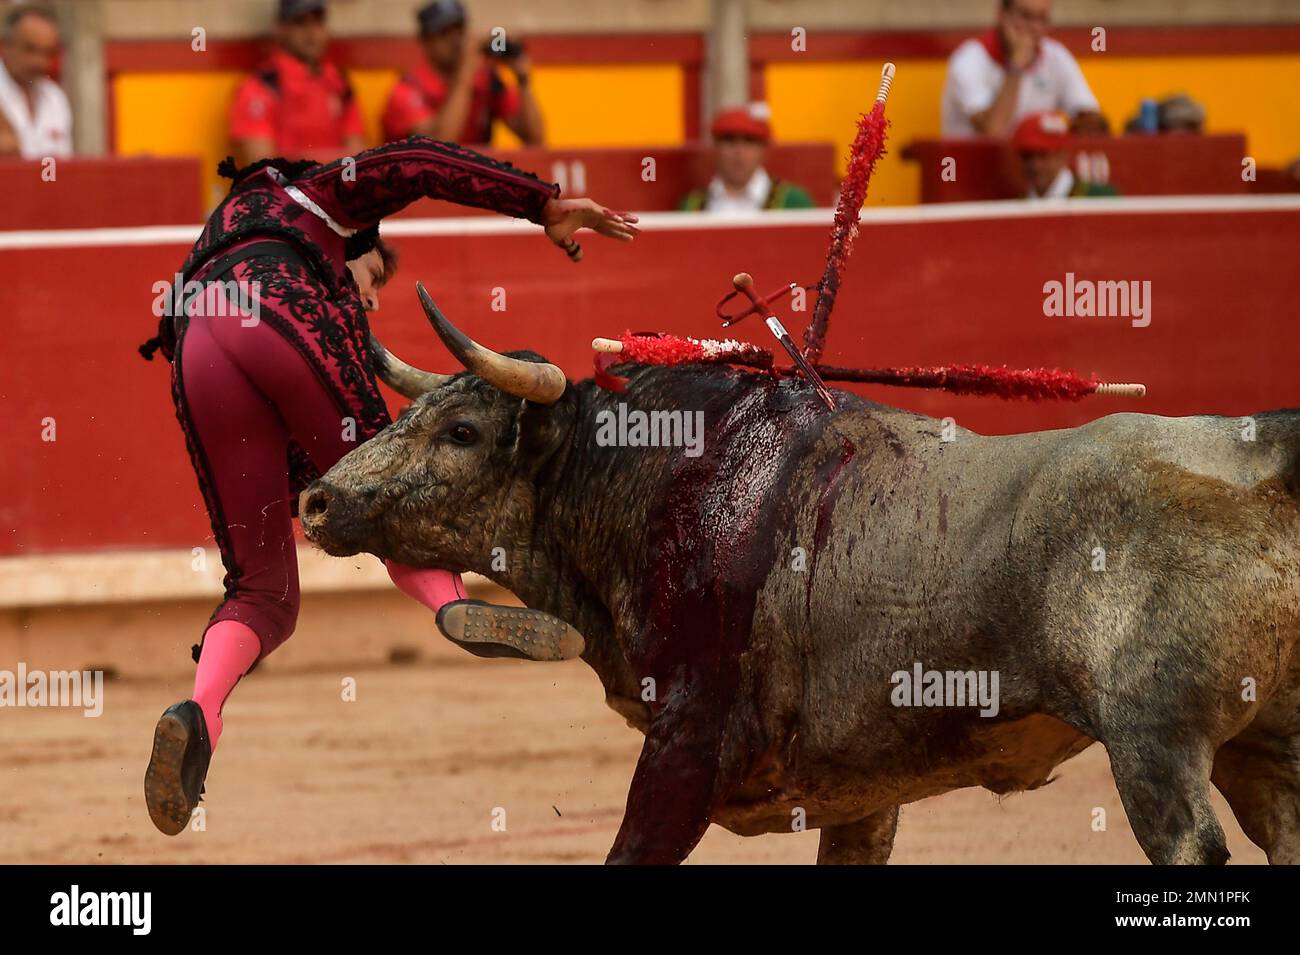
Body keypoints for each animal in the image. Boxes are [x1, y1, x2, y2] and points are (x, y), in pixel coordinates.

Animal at [300, 286, 1300, 865]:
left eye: (462, 431)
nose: (315, 500)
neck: (657, 480)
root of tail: (1269, 447)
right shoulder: (864, 791)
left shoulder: (682, 750)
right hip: (1264, 751)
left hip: (1154, 748)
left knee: (1192, 849)